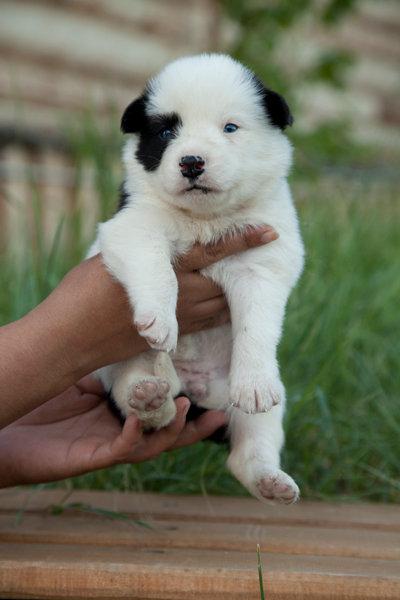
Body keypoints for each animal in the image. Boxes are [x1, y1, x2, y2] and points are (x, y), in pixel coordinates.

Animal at [89, 54, 304, 504]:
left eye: (230, 128)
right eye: (167, 131)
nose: (191, 162)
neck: (206, 219)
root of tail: (201, 392)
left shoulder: (265, 258)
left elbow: (257, 322)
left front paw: (253, 381)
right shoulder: (134, 225)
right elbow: (158, 270)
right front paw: (160, 320)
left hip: (267, 404)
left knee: (250, 445)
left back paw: (272, 481)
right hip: (115, 365)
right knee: (141, 405)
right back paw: (149, 396)